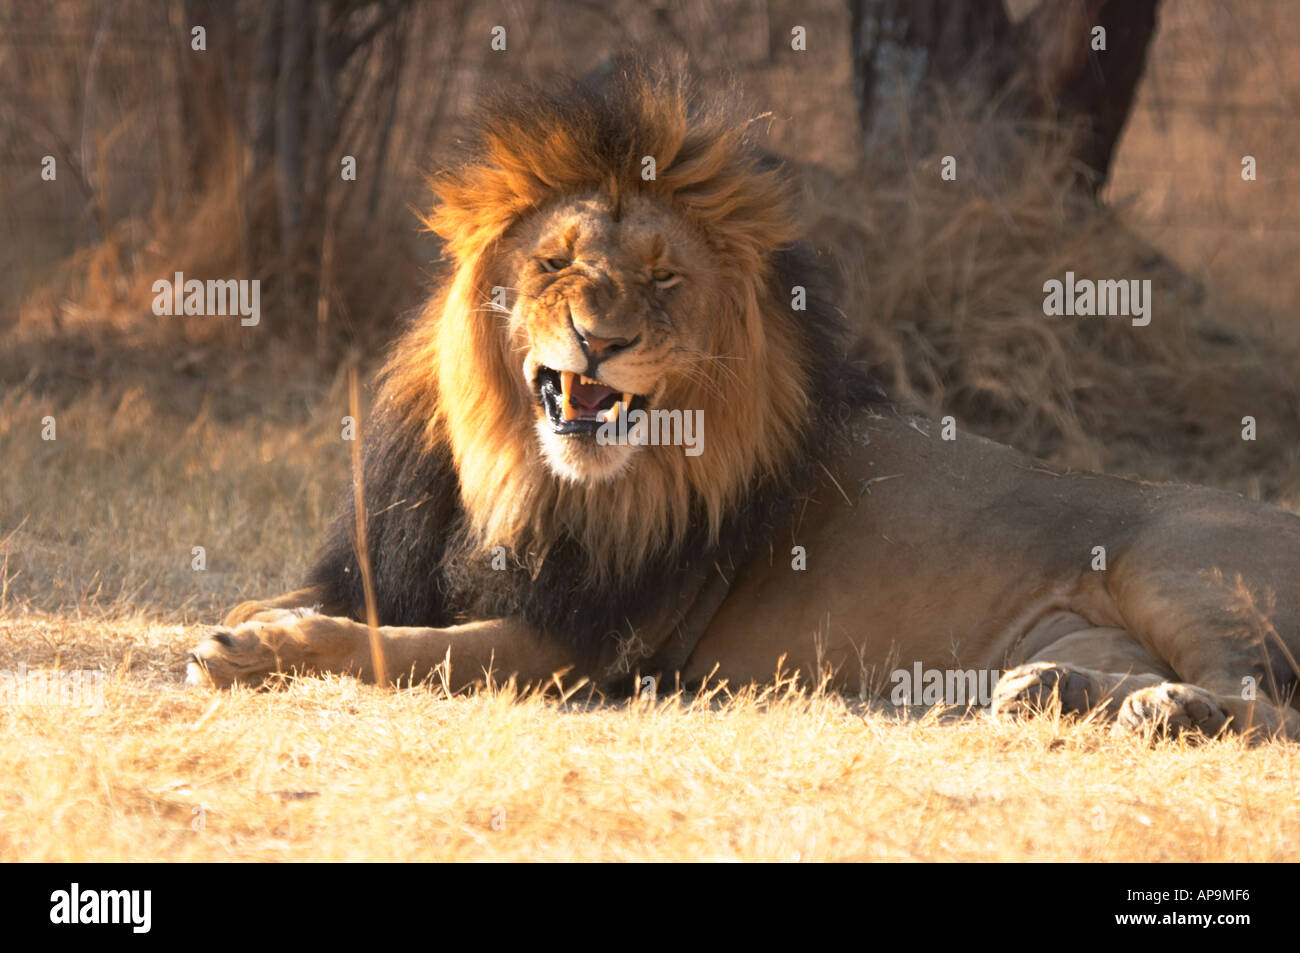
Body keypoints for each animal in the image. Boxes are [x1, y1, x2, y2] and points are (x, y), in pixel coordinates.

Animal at [188, 60, 1300, 740]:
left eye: (662, 277)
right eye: (553, 262)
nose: (601, 337)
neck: (515, 471)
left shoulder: (579, 646)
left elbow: (392, 647)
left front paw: (255, 650)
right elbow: (307, 599)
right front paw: (253, 620)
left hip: (1174, 562)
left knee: (1272, 704)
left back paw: (1162, 712)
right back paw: (1063, 694)